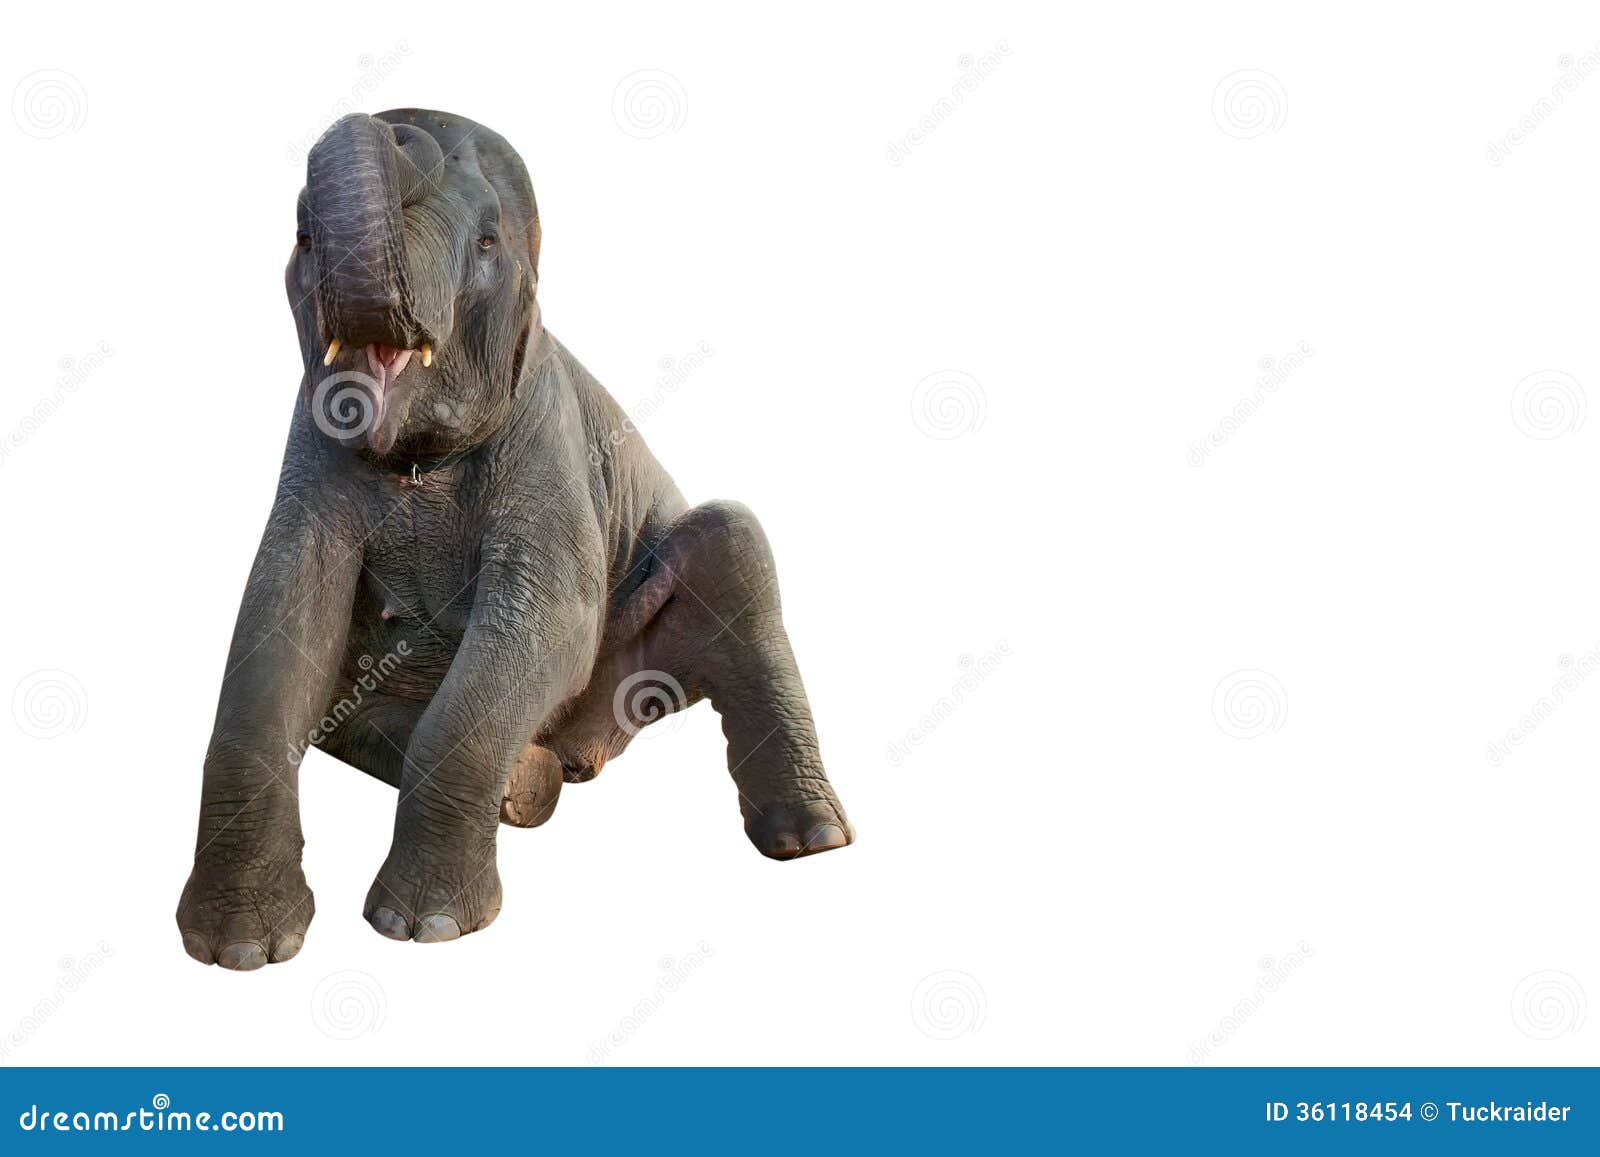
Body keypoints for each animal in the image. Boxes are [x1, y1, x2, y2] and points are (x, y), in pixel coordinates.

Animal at [175, 109, 853, 969]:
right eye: (300, 237)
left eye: (489, 243)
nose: (394, 129)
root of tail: (595, 740)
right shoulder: (310, 445)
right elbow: (281, 611)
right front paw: (238, 949)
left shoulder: (544, 429)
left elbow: (554, 615)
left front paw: (423, 926)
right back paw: (529, 783)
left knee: (731, 534)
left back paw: (812, 837)